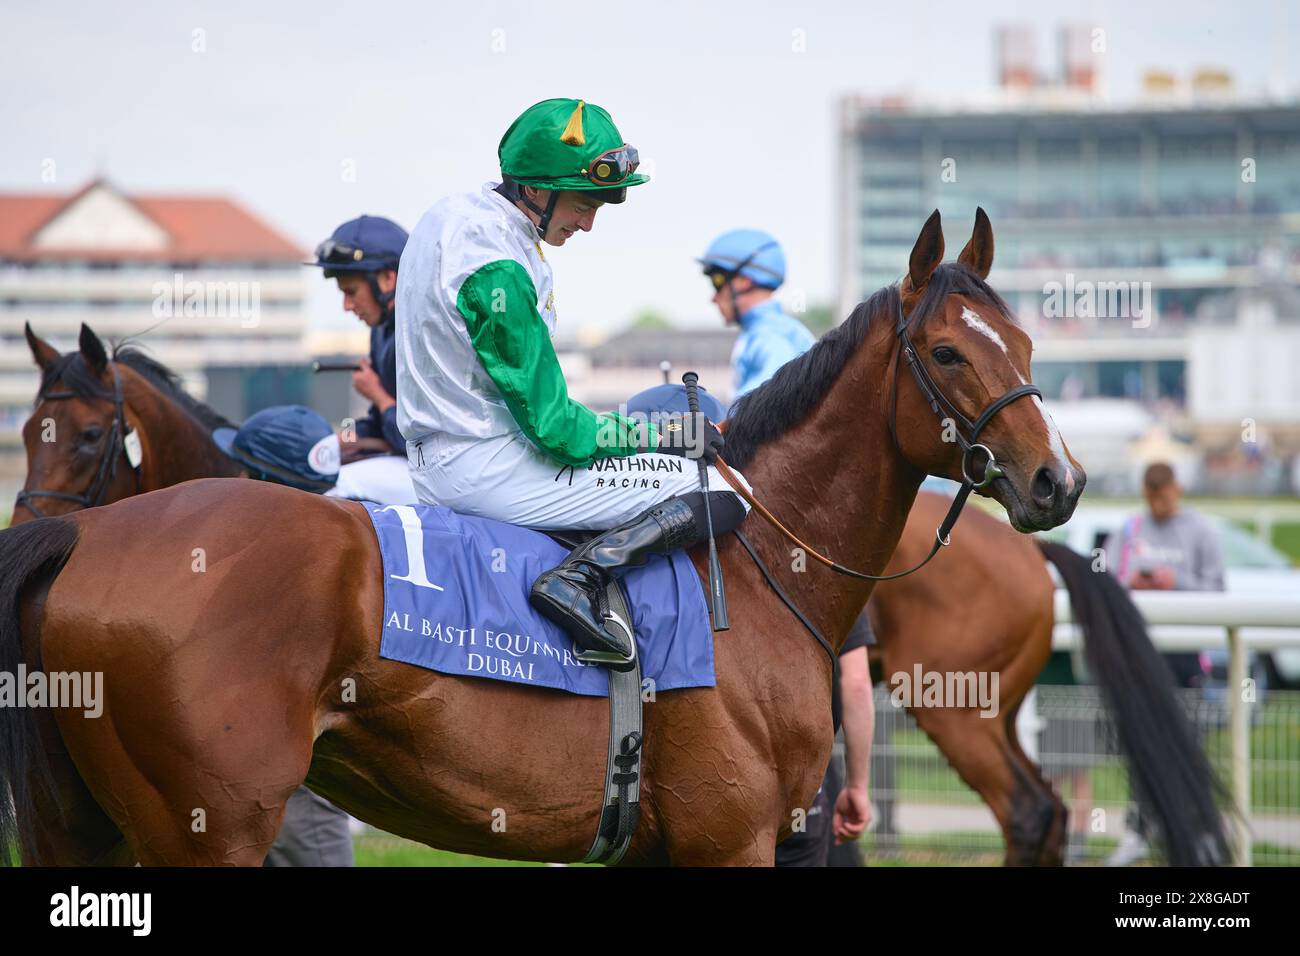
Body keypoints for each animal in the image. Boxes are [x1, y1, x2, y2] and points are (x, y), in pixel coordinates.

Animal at [0, 208, 1087, 866]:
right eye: (946, 351)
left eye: (1025, 344)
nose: (1058, 479)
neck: (762, 567)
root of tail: (88, 539)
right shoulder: (728, 836)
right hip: (208, 825)